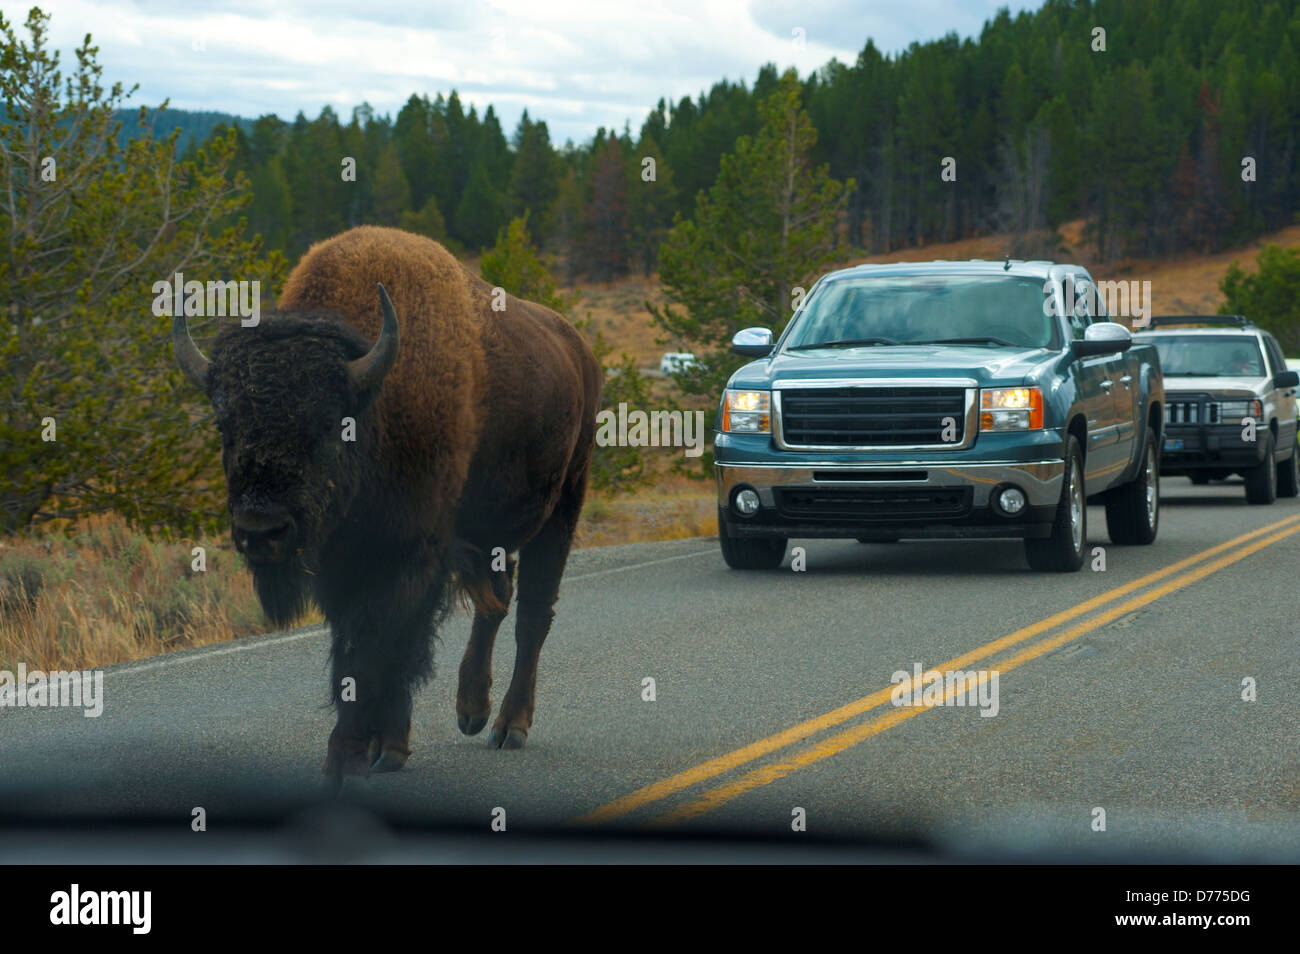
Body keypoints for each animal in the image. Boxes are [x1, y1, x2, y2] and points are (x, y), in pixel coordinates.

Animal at [172, 226, 601, 787]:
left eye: (326, 425)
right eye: (226, 427)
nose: (260, 530)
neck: (376, 403)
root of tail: (579, 351)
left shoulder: (407, 558)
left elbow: (377, 651)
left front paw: (350, 758)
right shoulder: (343, 566)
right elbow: (359, 652)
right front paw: (385, 746)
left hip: (563, 506)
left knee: (532, 614)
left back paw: (510, 726)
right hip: (492, 535)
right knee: (495, 603)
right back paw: (472, 711)